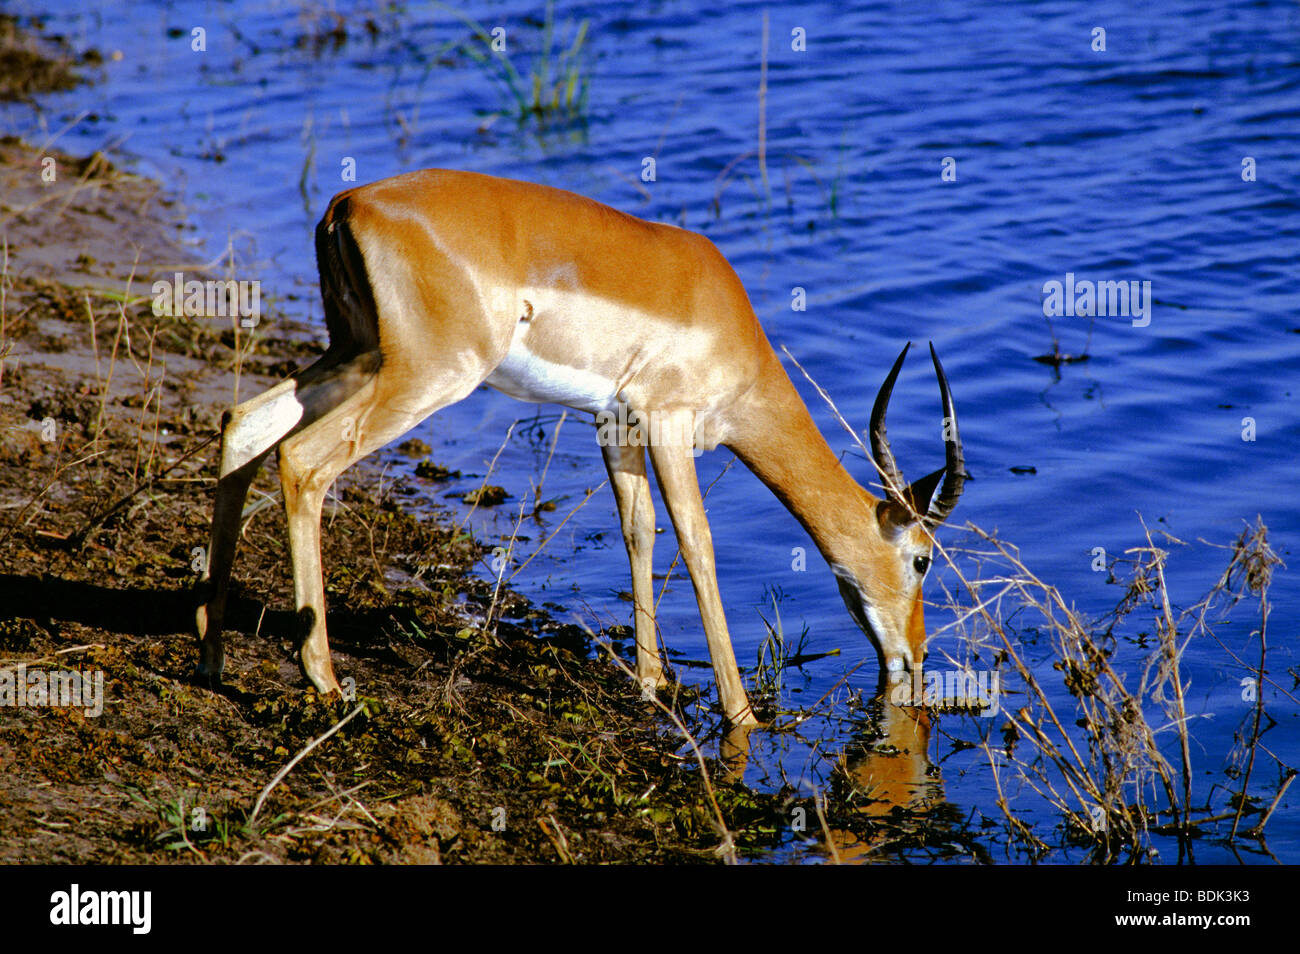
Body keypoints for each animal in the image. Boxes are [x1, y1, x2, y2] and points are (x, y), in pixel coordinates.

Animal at [193, 169, 965, 727]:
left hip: (355, 356)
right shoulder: (668, 423)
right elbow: (697, 544)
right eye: (923, 560)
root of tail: (347, 202)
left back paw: (209, 656)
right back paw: (322, 678)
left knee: (244, 424)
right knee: (302, 460)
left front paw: (652, 685)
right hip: (425, 376)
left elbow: (639, 530)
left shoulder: (615, 425)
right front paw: (741, 716)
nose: (914, 658)